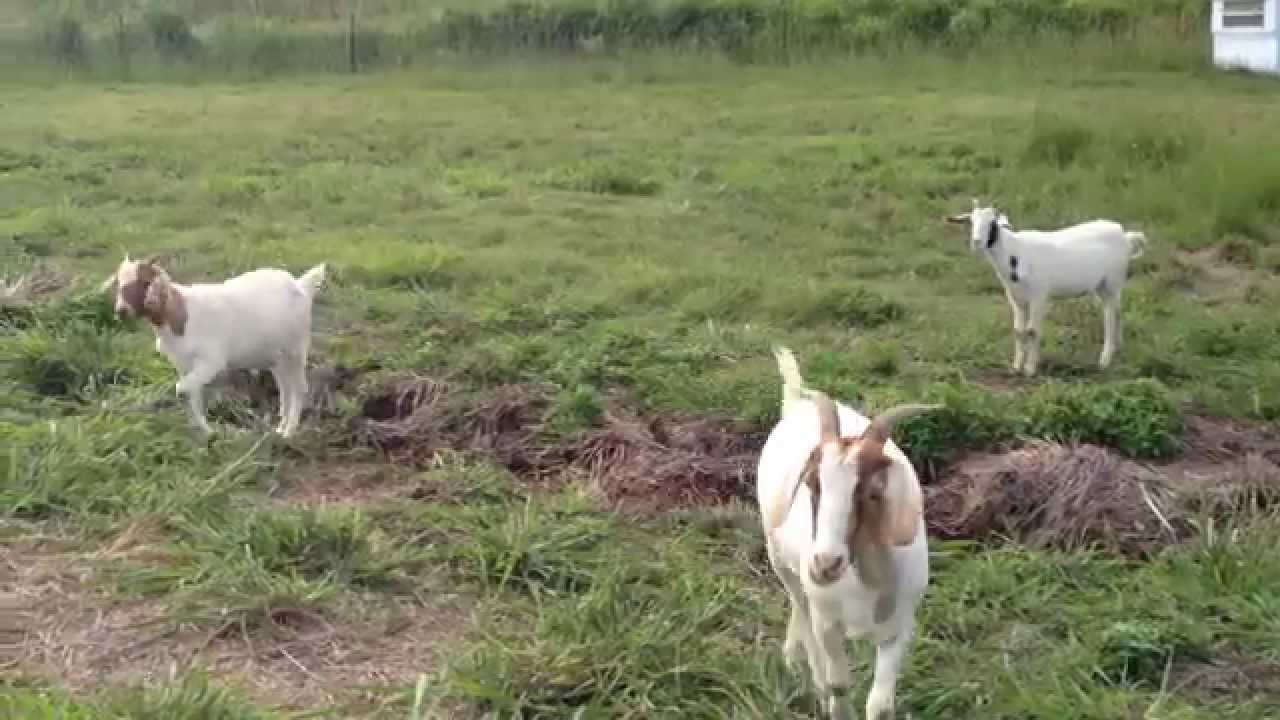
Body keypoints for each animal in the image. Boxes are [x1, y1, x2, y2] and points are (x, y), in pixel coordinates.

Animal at [101, 255, 327, 438]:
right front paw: (204, 433)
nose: (121, 310)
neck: (183, 315)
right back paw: (280, 429)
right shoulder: (185, 365)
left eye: (146, 282)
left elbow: (182, 390)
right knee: (285, 387)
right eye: (119, 283)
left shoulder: (211, 361)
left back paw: (289, 432)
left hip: (296, 349)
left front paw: (207, 431)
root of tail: (300, 285)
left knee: (299, 388)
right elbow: (192, 394)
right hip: (277, 356)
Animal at [757, 347, 940, 720]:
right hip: (780, 560)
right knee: (799, 606)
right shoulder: (828, 622)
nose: (826, 564)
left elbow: (880, 705)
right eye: (812, 483)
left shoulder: (901, 629)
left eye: (873, 492)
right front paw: (827, 695)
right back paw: (803, 669)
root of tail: (796, 403)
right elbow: (838, 684)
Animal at [946, 199, 1147, 377]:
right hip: (1102, 286)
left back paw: (1104, 360)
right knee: (1117, 311)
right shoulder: (1017, 299)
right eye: (971, 221)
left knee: (1110, 316)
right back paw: (1118, 349)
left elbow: (1032, 331)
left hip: (1112, 281)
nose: (977, 242)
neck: (1015, 252)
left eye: (992, 223)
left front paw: (1030, 369)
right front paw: (1016, 367)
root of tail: (1125, 235)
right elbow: (1018, 331)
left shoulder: (1039, 296)